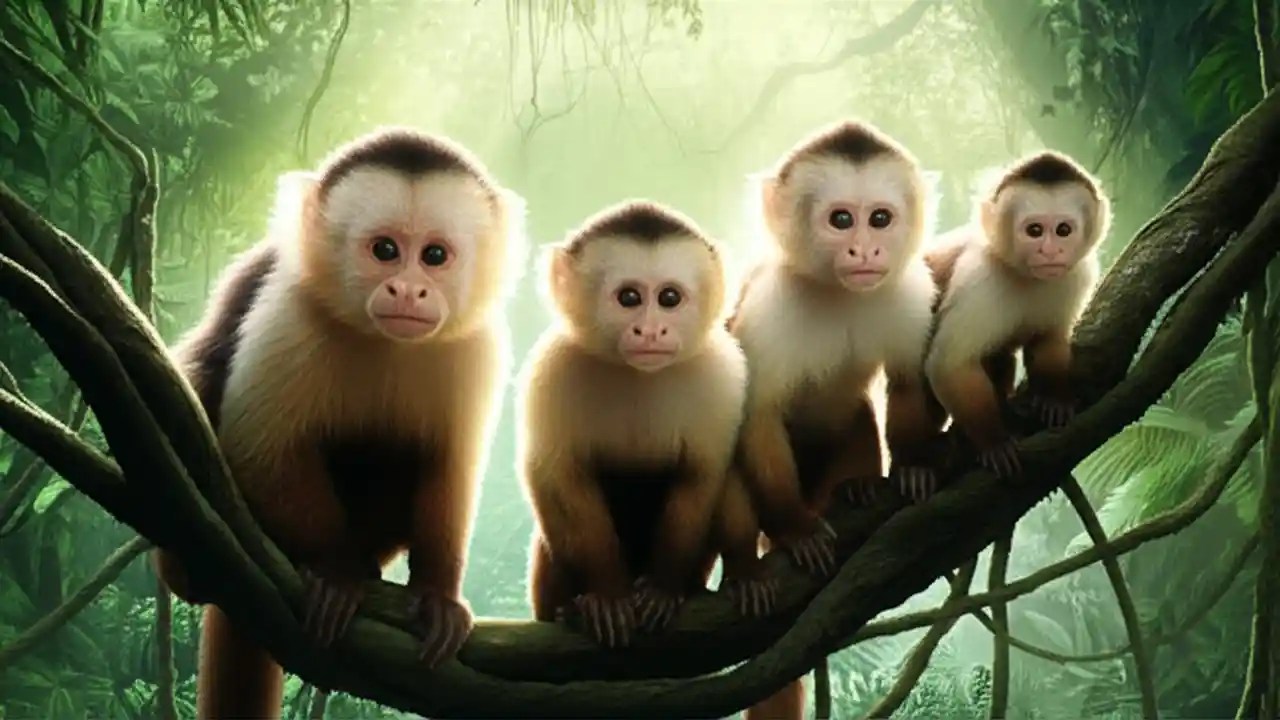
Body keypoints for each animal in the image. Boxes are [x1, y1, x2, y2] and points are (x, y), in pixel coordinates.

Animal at [149, 127, 524, 718]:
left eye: (435, 256)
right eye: (385, 250)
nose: (408, 290)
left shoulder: (477, 342)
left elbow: (451, 464)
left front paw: (437, 595)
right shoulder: (288, 311)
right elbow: (261, 448)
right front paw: (335, 571)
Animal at [517, 200, 776, 649]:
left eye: (669, 297)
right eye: (629, 298)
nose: (652, 329)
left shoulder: (722, 372)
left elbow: (704, 473)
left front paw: (663, 589)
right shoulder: (550, 370)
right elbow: (558, 477)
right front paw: (607, 597)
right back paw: (567, 610)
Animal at [923, 150, 1108, 478]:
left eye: (1063, 230)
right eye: (1034, 231)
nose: (1050, 251)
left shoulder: (1079, 273)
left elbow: (1049, 337)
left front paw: (1053, 397)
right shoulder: (980, 277)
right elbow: (950, 363)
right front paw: (994, 442)